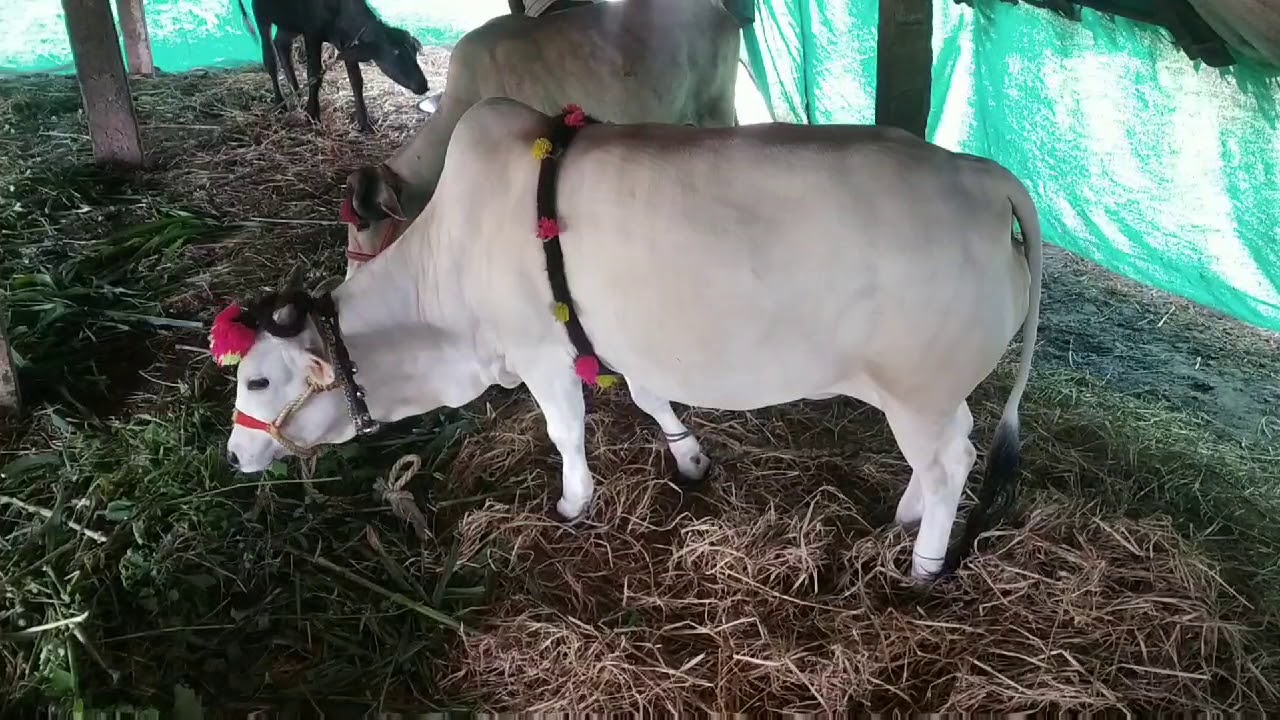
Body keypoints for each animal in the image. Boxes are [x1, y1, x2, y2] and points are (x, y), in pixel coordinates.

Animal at [219, 97, 1043, 583]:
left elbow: (565, 430)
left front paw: (573, 503)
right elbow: (650, 396)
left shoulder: (541, 353)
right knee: (955, 445)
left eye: (255, 379)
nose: (233, 453)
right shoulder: (619, 339)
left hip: (916, 386)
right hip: (929, 389)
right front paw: (689, 457)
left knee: (950, 462)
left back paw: (927, 561)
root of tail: (981, 173)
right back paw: (906, 517)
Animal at [236, 0, 429, 132]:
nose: (423, 85)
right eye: (395, 52)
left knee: (282, 47)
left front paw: (365, 121)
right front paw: (312, 114)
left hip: (289, 24)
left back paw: (298, 94)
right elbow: (313, 73)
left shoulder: (348, 44)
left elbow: (356, 81)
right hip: (263, 16)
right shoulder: (312, 34)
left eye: (414, 51)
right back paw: (280, 102)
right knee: (270, 59)